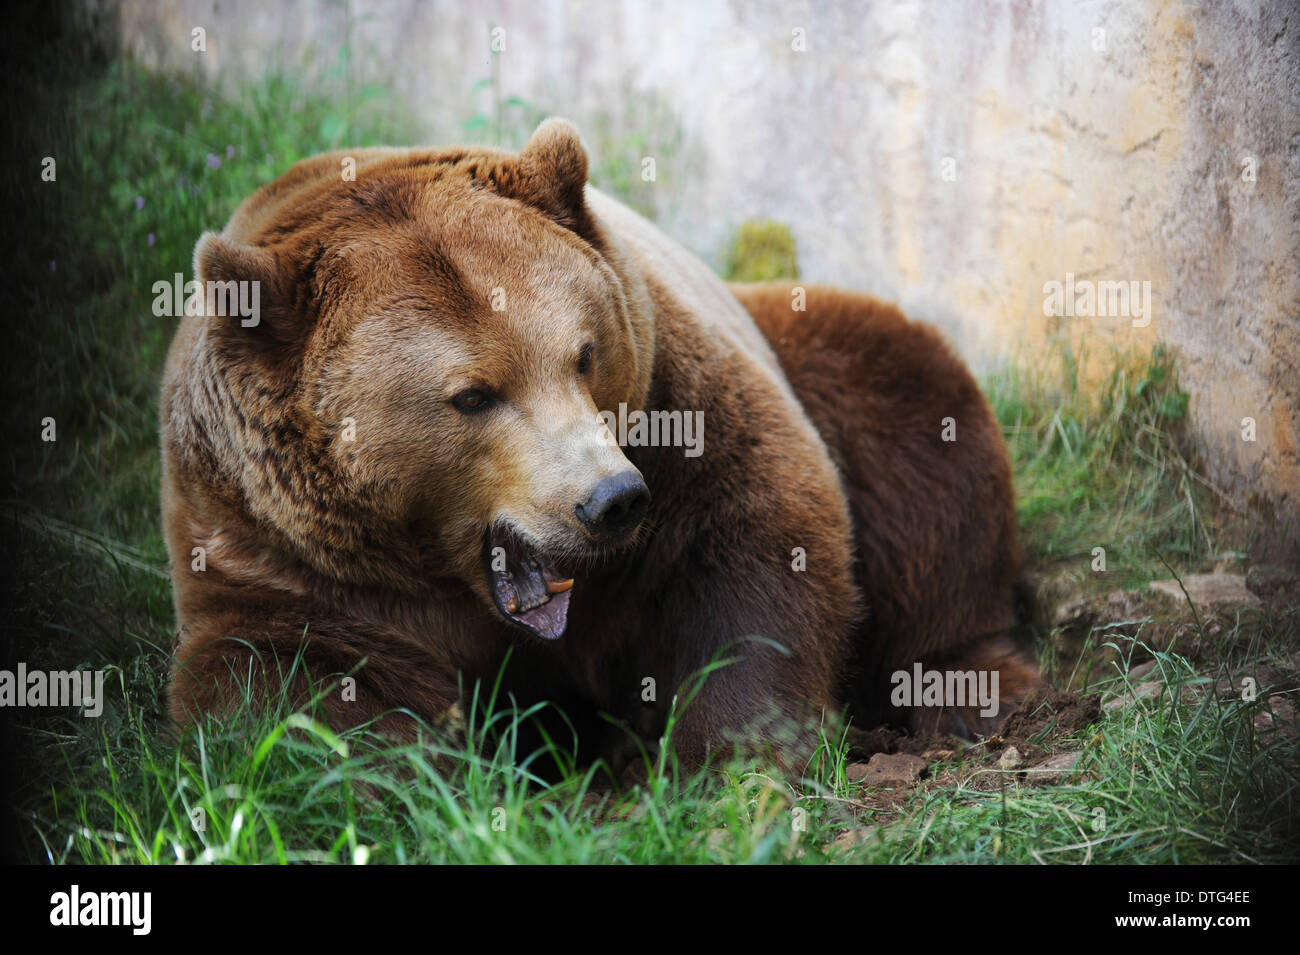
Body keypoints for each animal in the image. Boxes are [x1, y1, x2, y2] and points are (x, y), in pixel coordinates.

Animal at [160, 118, 1039, 776]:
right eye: (473, 395)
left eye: (583, 353)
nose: (608, 500)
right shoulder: (285, 553)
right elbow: (287, 680)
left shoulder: (676, 421)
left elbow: (752, 551)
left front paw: (730, 756)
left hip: (824, 361)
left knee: (922, 444)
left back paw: (974, 688)